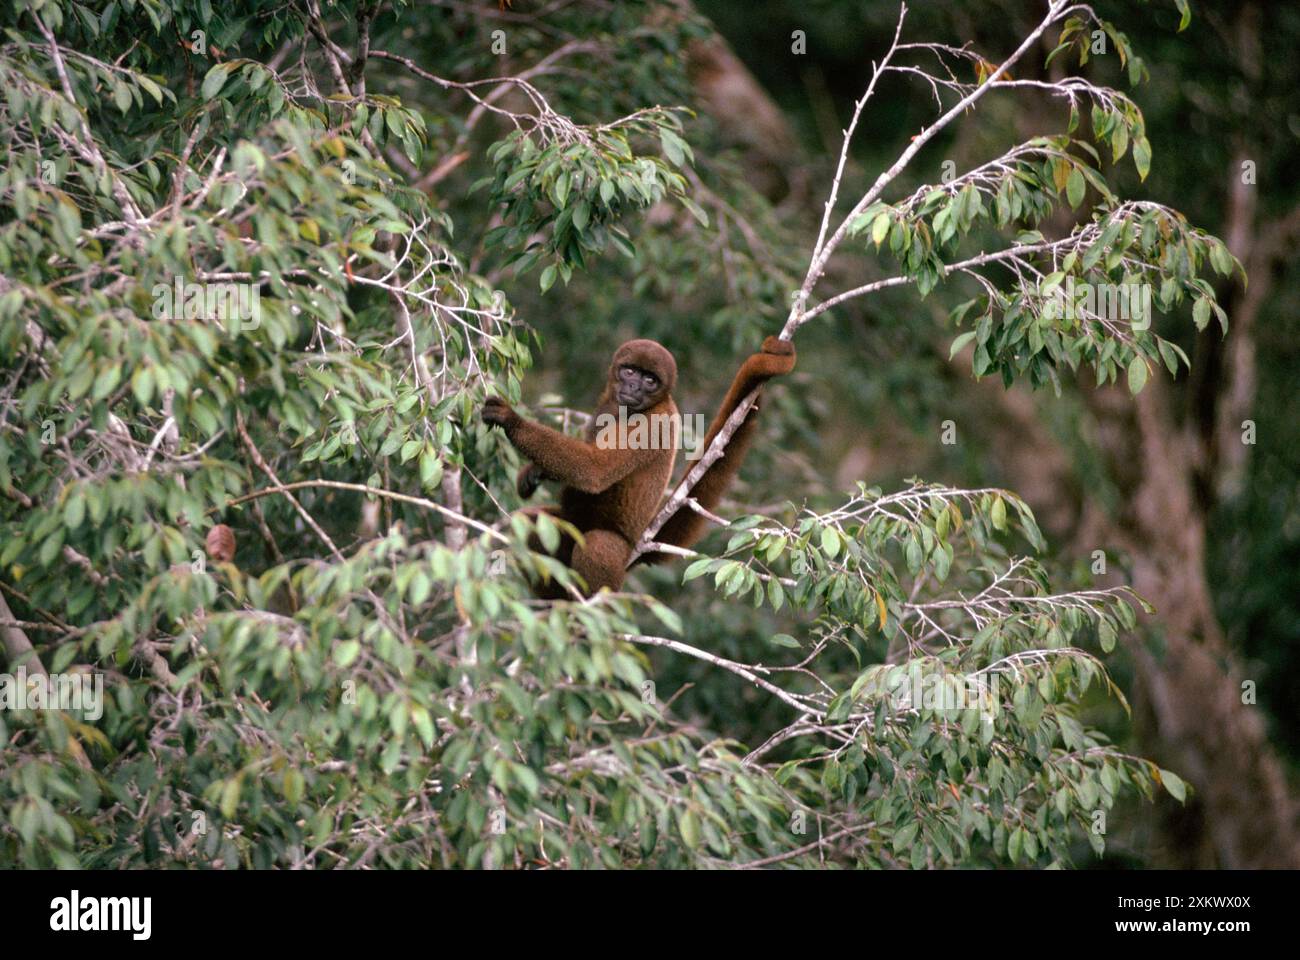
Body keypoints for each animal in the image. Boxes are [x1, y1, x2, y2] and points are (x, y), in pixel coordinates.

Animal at [482, 335, 795, 597]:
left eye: (650, 380)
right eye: (630, 372)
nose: (633, 386)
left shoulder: (654, 423)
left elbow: (594, 470)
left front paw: (511, 419)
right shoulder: (606, 401)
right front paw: (533, 473)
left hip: (619, 547)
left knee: (600, 546)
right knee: (530, 522)